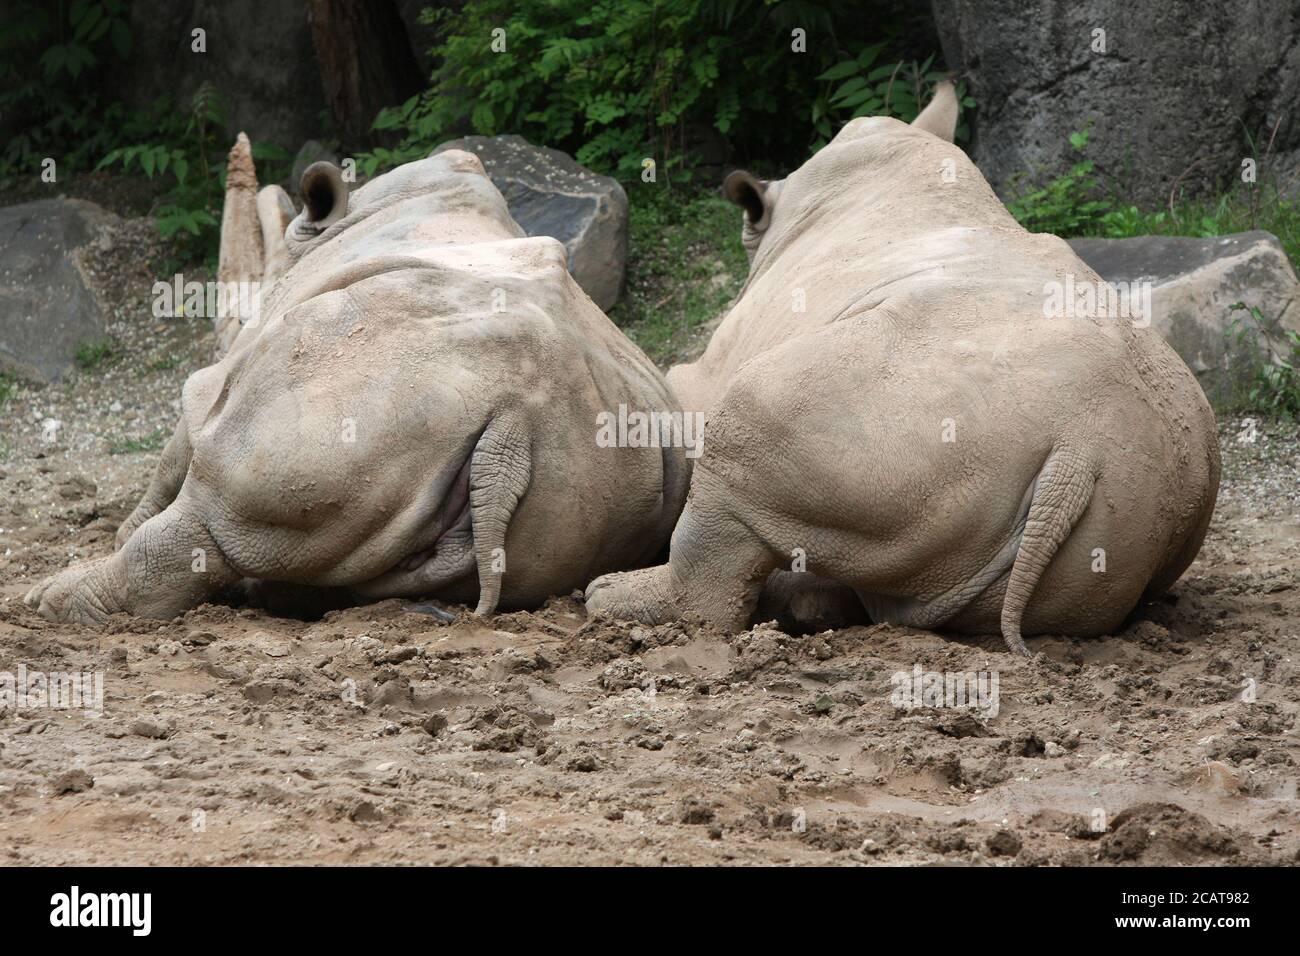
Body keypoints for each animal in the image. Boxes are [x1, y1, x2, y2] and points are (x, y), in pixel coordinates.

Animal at [26, 137, 689, 624]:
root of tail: (514, 424)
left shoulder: (216, 381)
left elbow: (172, 457)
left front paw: (117, 535)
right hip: (594, 469)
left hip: (352, 393)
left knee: (212, 511)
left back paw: (50, 602)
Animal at [586, 83, 1220, 655]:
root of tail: (1082, 447)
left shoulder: (717, 364)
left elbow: (683, 387)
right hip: (1138, 498)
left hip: (900, 416)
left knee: (750, 423)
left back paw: (610, 598)